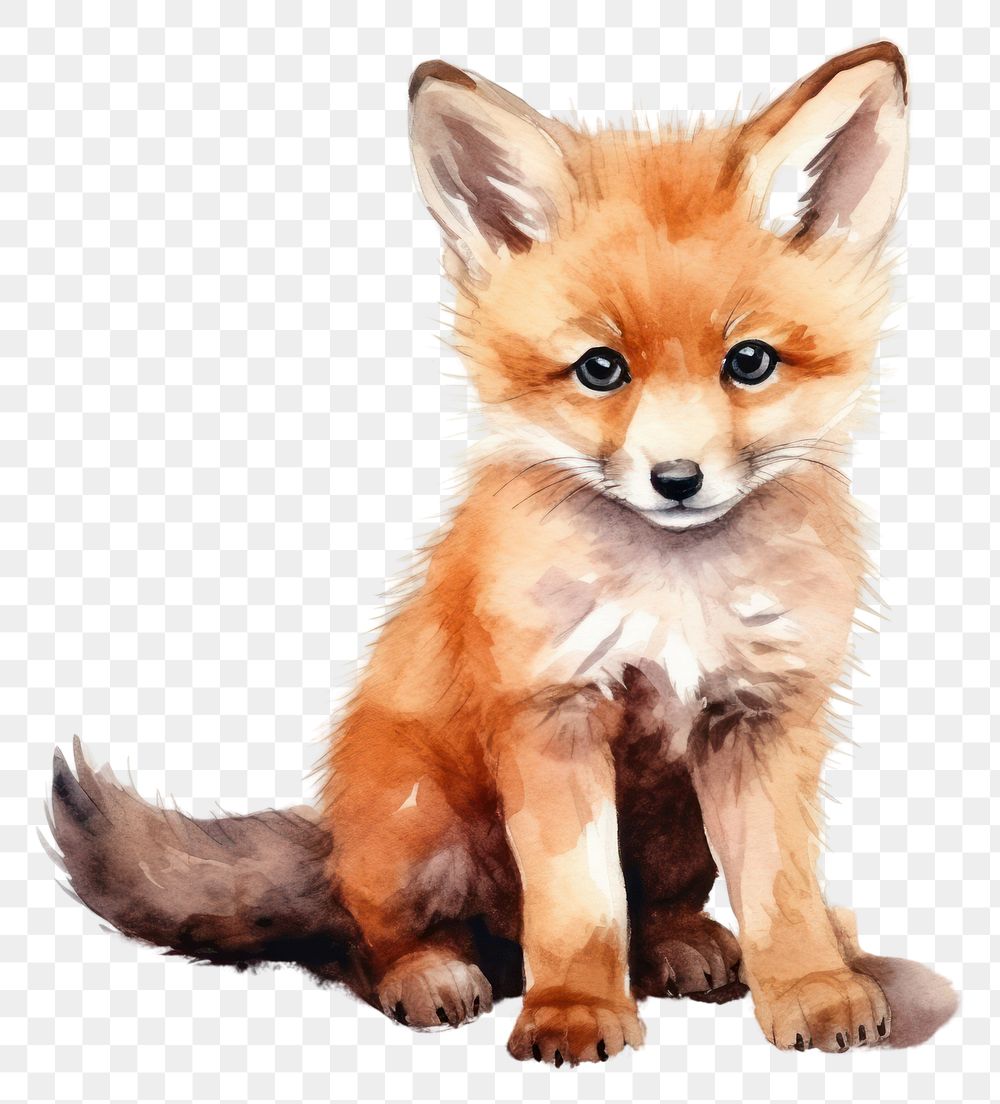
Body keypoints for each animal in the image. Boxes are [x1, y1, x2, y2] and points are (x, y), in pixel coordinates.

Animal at [50, 42, 958, 1066]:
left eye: (750, 362)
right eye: (600, 368)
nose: (676, 479)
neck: (672, 591)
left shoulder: (760, 718)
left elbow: (780, 890)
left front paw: (811, 989)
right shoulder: (550, 713)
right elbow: (576, 905)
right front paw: (574, 1011)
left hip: (675, 828)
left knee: (654, 913)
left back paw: (686, 945)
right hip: (418, 828)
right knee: (375, 940)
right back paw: (436, 974)